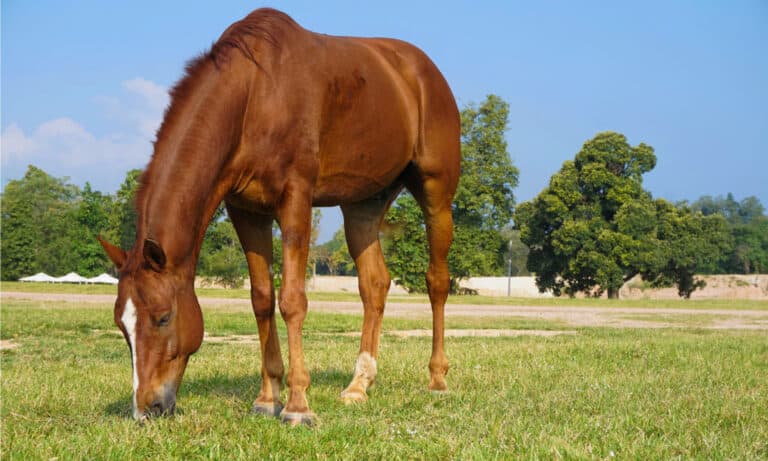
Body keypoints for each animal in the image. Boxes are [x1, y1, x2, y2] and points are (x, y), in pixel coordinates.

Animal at [98, 7, 459, 426]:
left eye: (163, 317)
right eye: (121, 324)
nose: (147, 409)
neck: (255, 96)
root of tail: (423, 71)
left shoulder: (295, 200)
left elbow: (292, 300)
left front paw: (297, 404)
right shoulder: (246, 211)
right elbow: (261, 299)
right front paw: (268, 397)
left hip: (436, 195)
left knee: (437, 282)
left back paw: (438, 379)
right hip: (363, 206)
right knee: (374, 285)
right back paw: (358, 385)